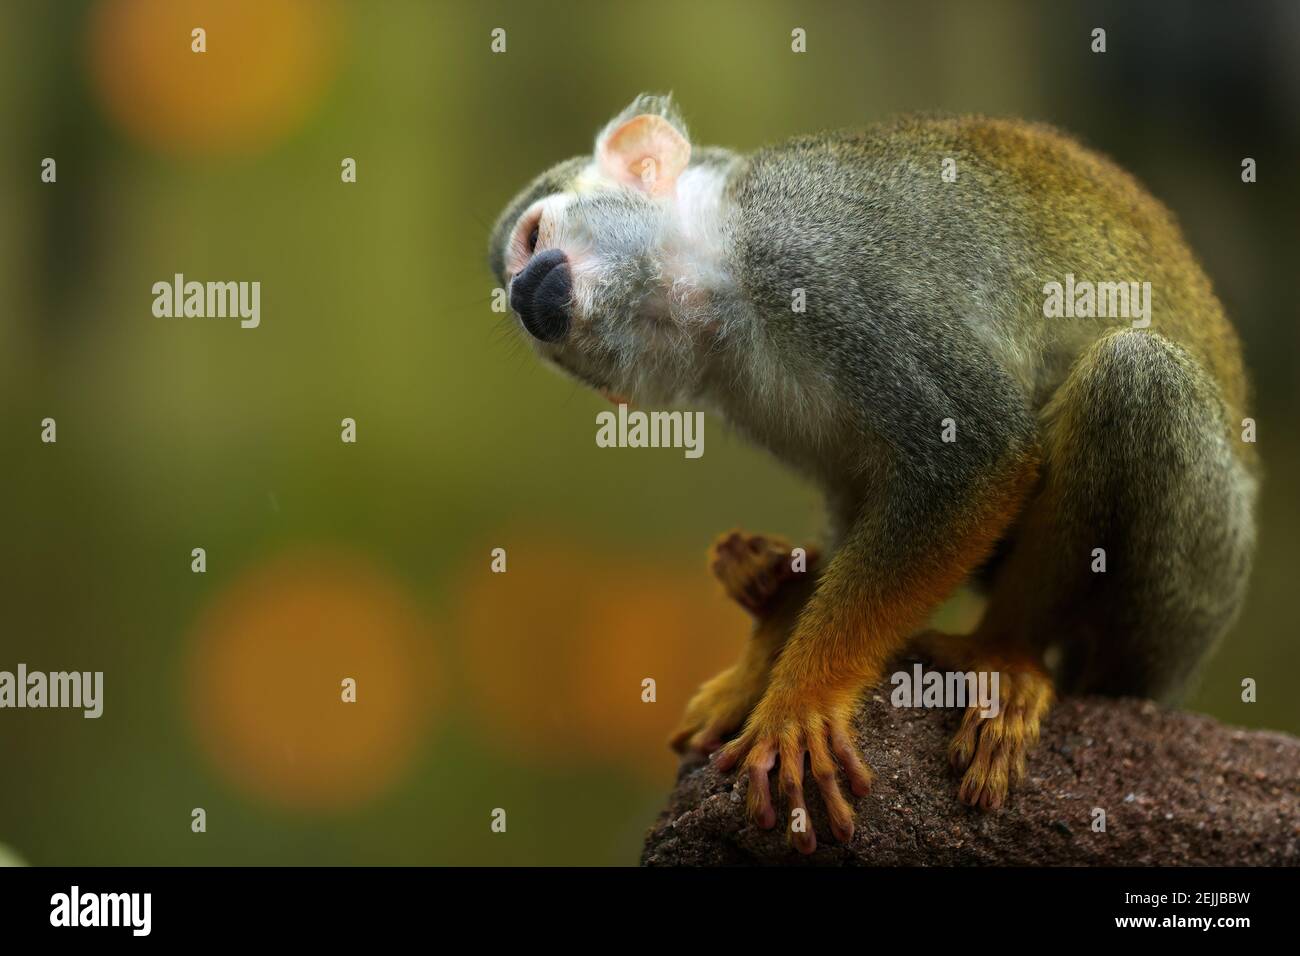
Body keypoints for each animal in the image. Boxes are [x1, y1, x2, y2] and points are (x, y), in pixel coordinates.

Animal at [488, 94, 1258, 854]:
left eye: (532, 238)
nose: (525, 296)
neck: (714, 270)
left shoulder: (812, 259)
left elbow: (974, 452)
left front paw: (802, 701)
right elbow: (860, 496)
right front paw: (767, 651)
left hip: (1196, 589)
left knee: (1135, 375)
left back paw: (1006, 650)